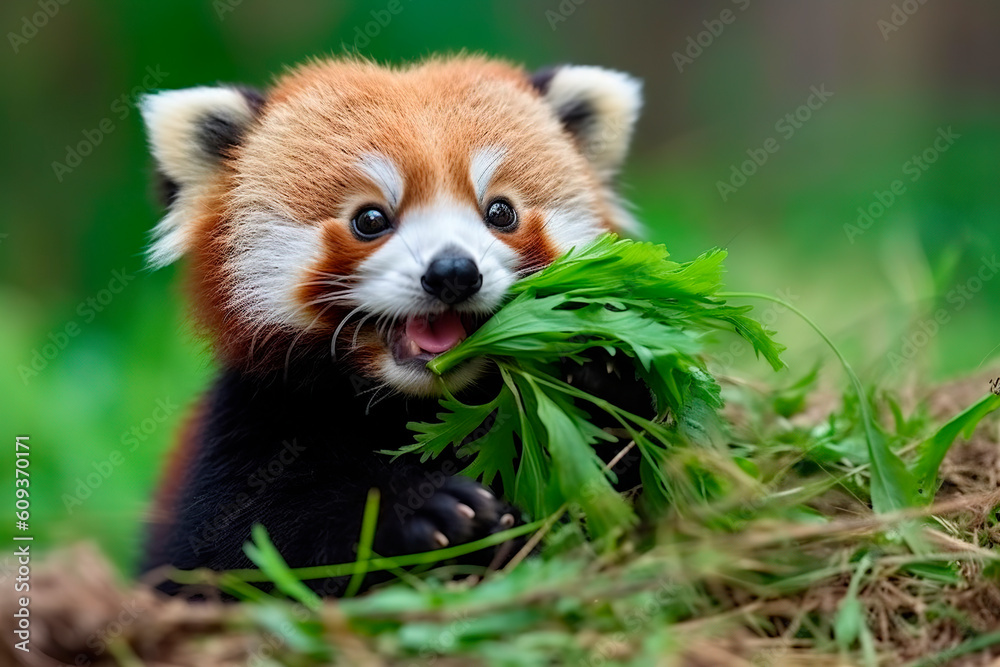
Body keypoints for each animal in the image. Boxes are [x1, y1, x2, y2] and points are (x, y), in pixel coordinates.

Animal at [138, 55, 643, 596]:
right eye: (370, 219)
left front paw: (602, 373)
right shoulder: (251, 426)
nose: (453, 272)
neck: (417, 406)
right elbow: (242, 546)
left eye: (500, 212)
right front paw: (426, 512)